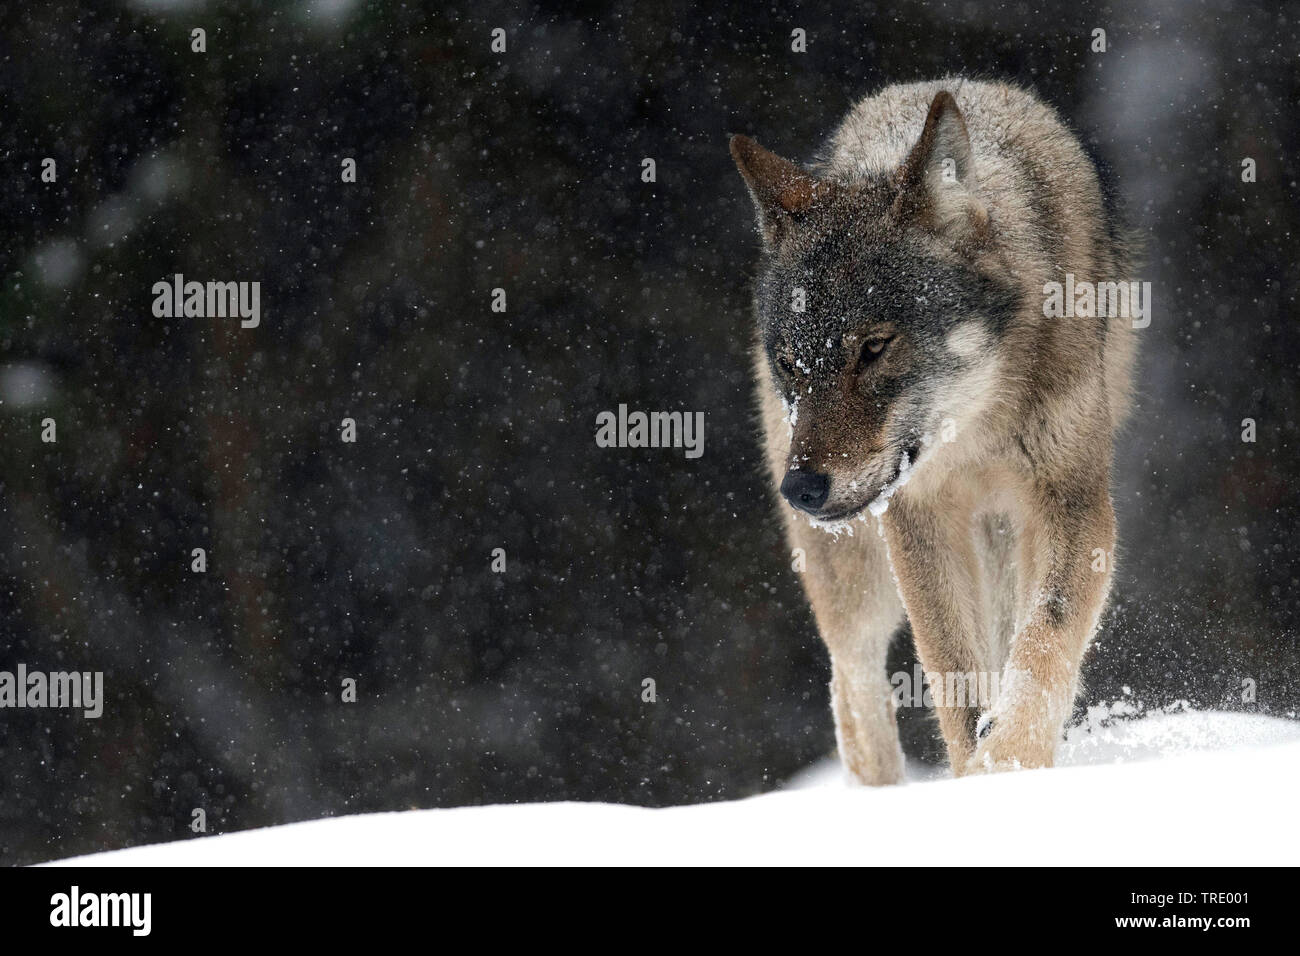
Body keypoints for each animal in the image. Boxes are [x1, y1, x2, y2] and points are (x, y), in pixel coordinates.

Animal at [730, 78, 1138, 782]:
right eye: (790, 363)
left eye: (873, 348)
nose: (801, 489)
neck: (976, 429)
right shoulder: (917, 516)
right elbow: (953, 673)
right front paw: (975, 773)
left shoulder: (1072, 499)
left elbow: (1045, 639)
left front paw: (1008, 760)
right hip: (856, 573)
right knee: (852, 684)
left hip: (1001, 536)